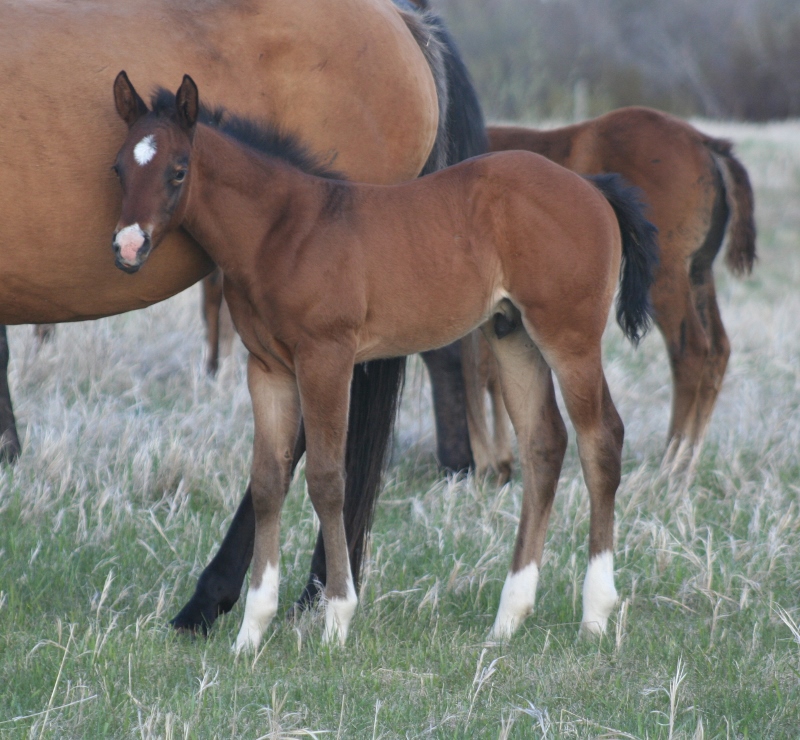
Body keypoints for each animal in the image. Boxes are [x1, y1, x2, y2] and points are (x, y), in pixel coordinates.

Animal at [0, 0, 466, 633]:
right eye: (117, 169)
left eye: (178, 171)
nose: (126, 247)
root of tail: (402, 19)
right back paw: (310, 592)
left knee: (309, 447)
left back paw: (233, 598)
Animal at [110, 73, 658, 647]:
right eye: (119, 167)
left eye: (178, 170)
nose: (127, 248)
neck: (283, 231)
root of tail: (591, 186)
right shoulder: (267, 368)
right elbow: (267, 482)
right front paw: (251, 630)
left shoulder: (327, 357)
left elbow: (327, 478)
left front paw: (336, 617)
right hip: (513, 334)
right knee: (544, 444)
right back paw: (509, 617)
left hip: (570, 336)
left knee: (601, 439)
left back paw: (595, 612)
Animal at [466, 108, 756, 481]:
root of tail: (705, 143)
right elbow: (489, 371)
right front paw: (499, 462)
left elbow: (473, 370)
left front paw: (488, 464)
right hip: (699, 271)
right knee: (719, 349)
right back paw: (686, 464)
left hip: (665, 275)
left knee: (691, 349)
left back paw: (669, 463)